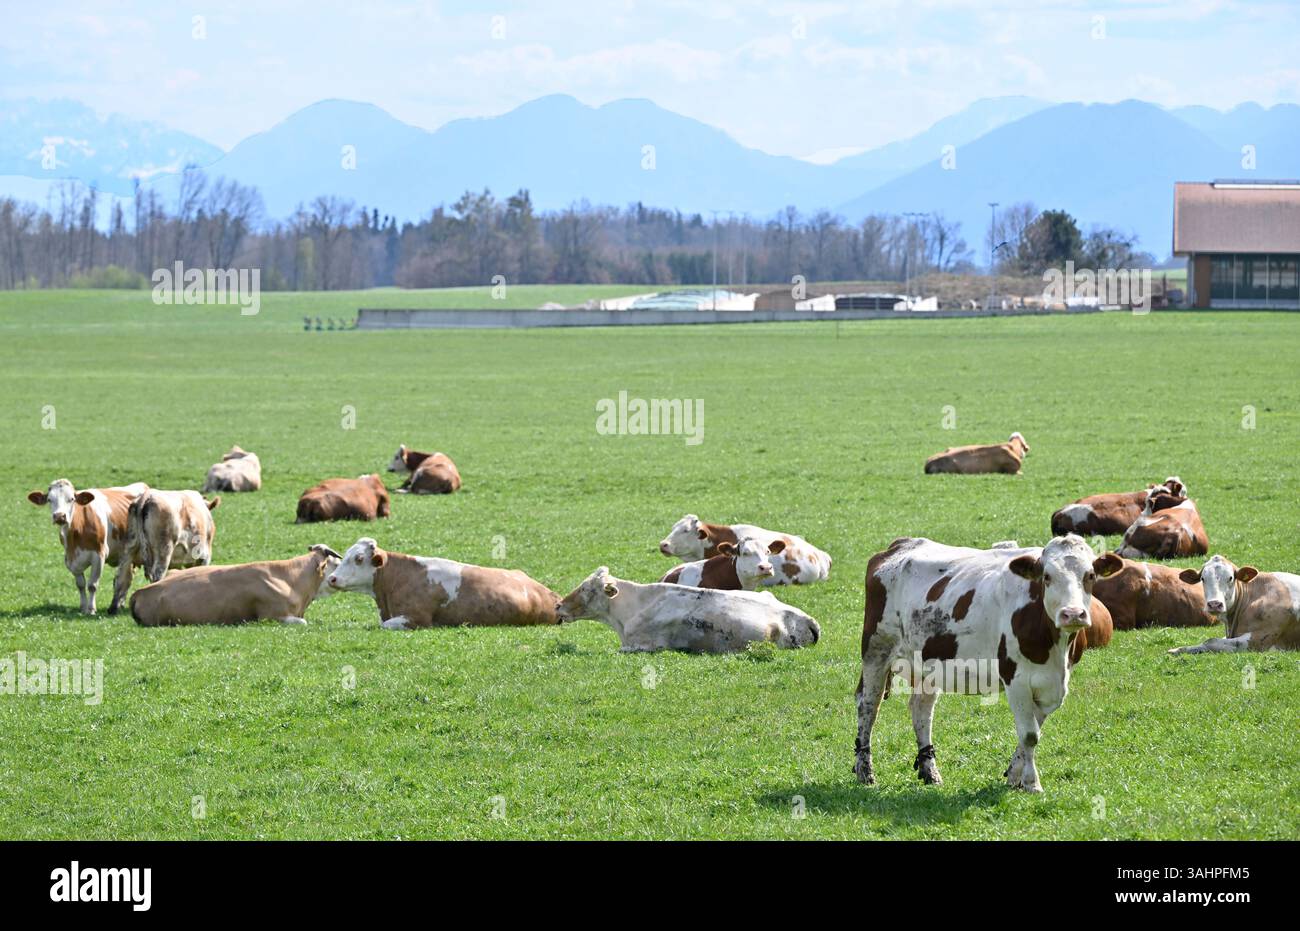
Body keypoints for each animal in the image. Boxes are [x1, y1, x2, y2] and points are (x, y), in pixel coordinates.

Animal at [27, 479, 149, 615]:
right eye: (49, 499)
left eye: (72, 499)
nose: (59, 516)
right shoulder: (70, 559)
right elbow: (80, 584)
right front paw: (83, 607)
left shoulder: (99, 555)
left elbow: (92, 585)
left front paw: (91, 609)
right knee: (127, 577)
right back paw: (120, 603)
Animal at [853, 535, 1122, 792]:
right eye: (1047, 576)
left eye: (1090, 575)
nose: (1073, 614)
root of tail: (901, 544)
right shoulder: (1016, 679)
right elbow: (1029, 735)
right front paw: (1032, 783)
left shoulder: (1052, 685)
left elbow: (1032, 731)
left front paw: (1014, 776)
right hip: (876, 650)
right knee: (868, 706)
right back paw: (865, 771)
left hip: (927, 663)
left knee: (921, 709)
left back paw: (930, 772)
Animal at [1169, 556, 1300, 654]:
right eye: (1202, 578)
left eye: (1230, 578)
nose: (1214, 604)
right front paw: (1176, 650)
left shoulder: (1260, 638)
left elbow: (1211, 641)